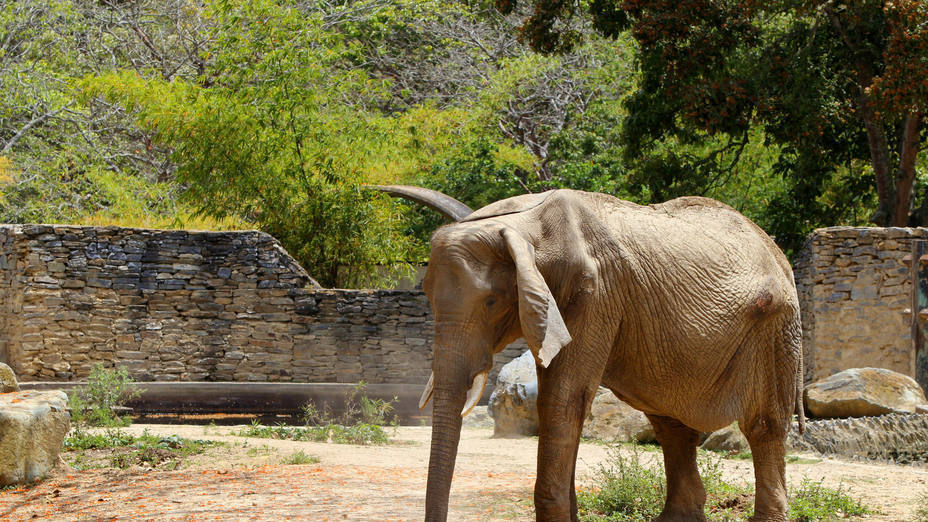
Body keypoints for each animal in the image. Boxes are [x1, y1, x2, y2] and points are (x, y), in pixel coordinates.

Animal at [414, 188, 804, 522]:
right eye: (428, 297)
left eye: (492, 302)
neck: (523, 223)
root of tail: (780, 257)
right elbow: (561, 400)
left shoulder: (596, 293)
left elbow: (563, 399)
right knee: (670, 423)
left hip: (776, 330)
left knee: (764, 426)